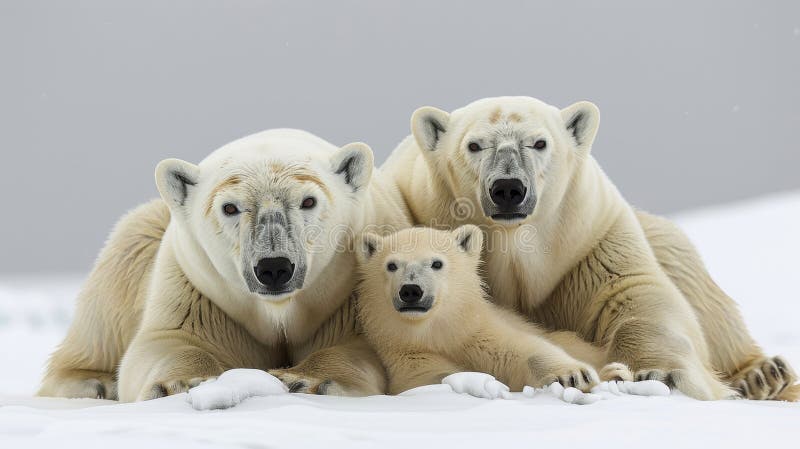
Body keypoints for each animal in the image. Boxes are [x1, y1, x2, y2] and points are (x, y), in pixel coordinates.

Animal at [38, 129, 412, 401]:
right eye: (230, 207)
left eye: (309, 201)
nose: (274, 268)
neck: (279, 310)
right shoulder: (197, 288)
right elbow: (167, 341)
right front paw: (184, 384)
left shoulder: (356, 289)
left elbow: (359, 345)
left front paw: (303, 379)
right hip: (141, 242)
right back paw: (94, 382)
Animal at [355, 225, 634, 395]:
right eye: (391, 265)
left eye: (436, 263)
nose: (411, 290)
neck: (438, 331)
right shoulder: (408, 353)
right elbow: (431, 376)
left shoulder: (477, 331)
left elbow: (523, 351)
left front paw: (573, 376)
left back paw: (617, 373)